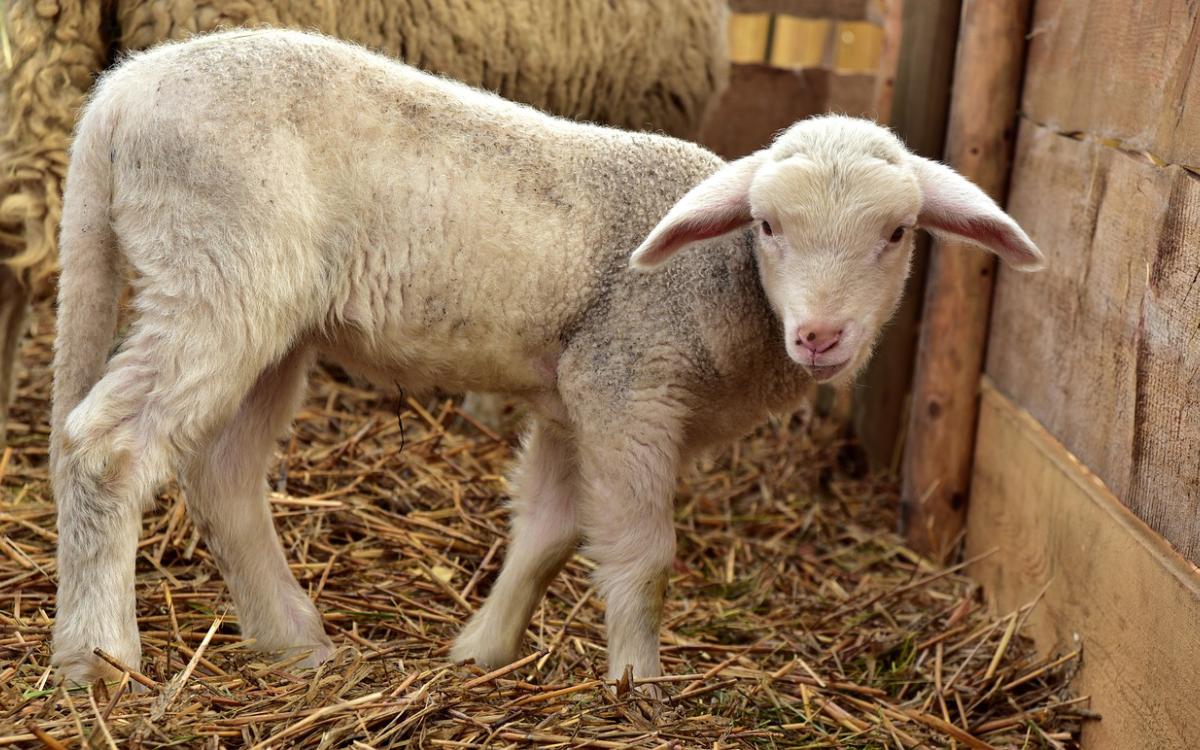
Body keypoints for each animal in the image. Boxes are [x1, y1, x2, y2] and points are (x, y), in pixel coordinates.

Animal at [49, 29, 1043, 686]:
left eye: (897, 233)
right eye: (766, 225)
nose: (822, 339)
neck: (721, 286)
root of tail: (118, 93)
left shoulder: (576, 398)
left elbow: (551, 532)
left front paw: (481, 651)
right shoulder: (629, 386)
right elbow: (641, 555)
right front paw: (639, 687)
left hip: (268, 316)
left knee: (221, 473)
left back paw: (293, 640)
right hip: (217, 272)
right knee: (107, 446)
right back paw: (99, 659)